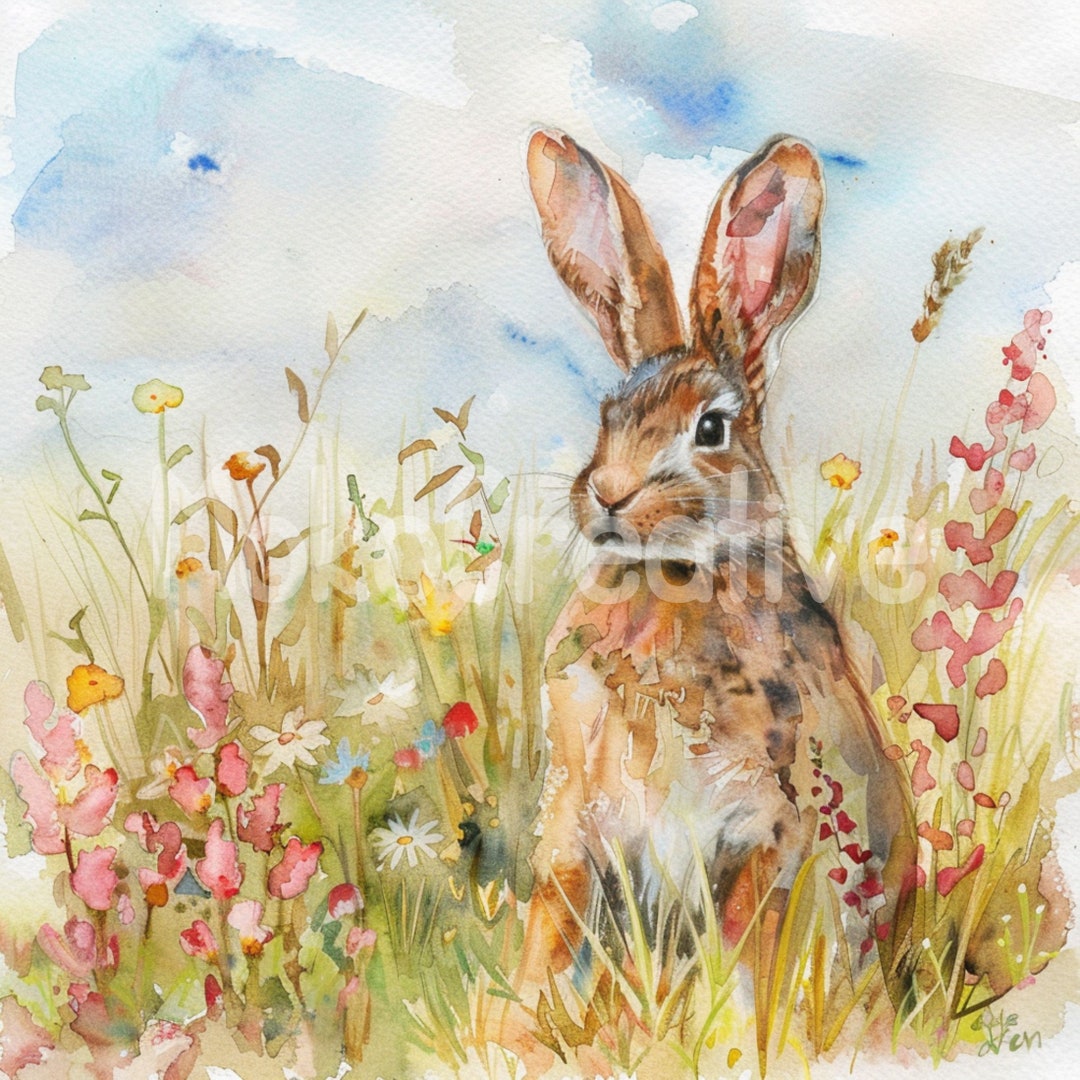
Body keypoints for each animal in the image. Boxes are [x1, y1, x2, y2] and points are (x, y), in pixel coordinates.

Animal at [518, 129, 913, 992]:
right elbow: (547, 942)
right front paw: (516, 1015)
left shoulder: (766, 827)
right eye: (608, 416)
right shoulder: (574, 830)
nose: (609, 493)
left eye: (710, 429)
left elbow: (749, 962)